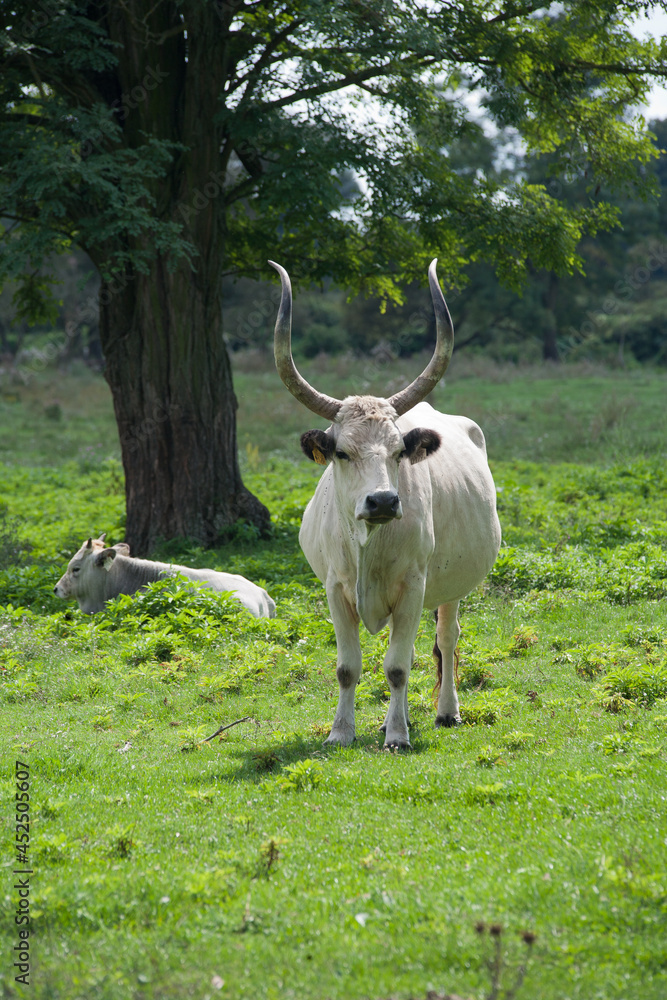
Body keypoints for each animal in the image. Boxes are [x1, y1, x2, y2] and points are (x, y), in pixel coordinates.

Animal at [270, 258, 501, 749]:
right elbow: (347, 667)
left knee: (445, 639)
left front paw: (397, 736)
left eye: (398, 451)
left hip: (449, 588)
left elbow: (397, 667)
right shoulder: (335, 590)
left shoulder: (413, 587)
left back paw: (445, 712)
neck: (368, 543)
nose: (382, 501)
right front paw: (341, 732)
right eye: (341, 452)